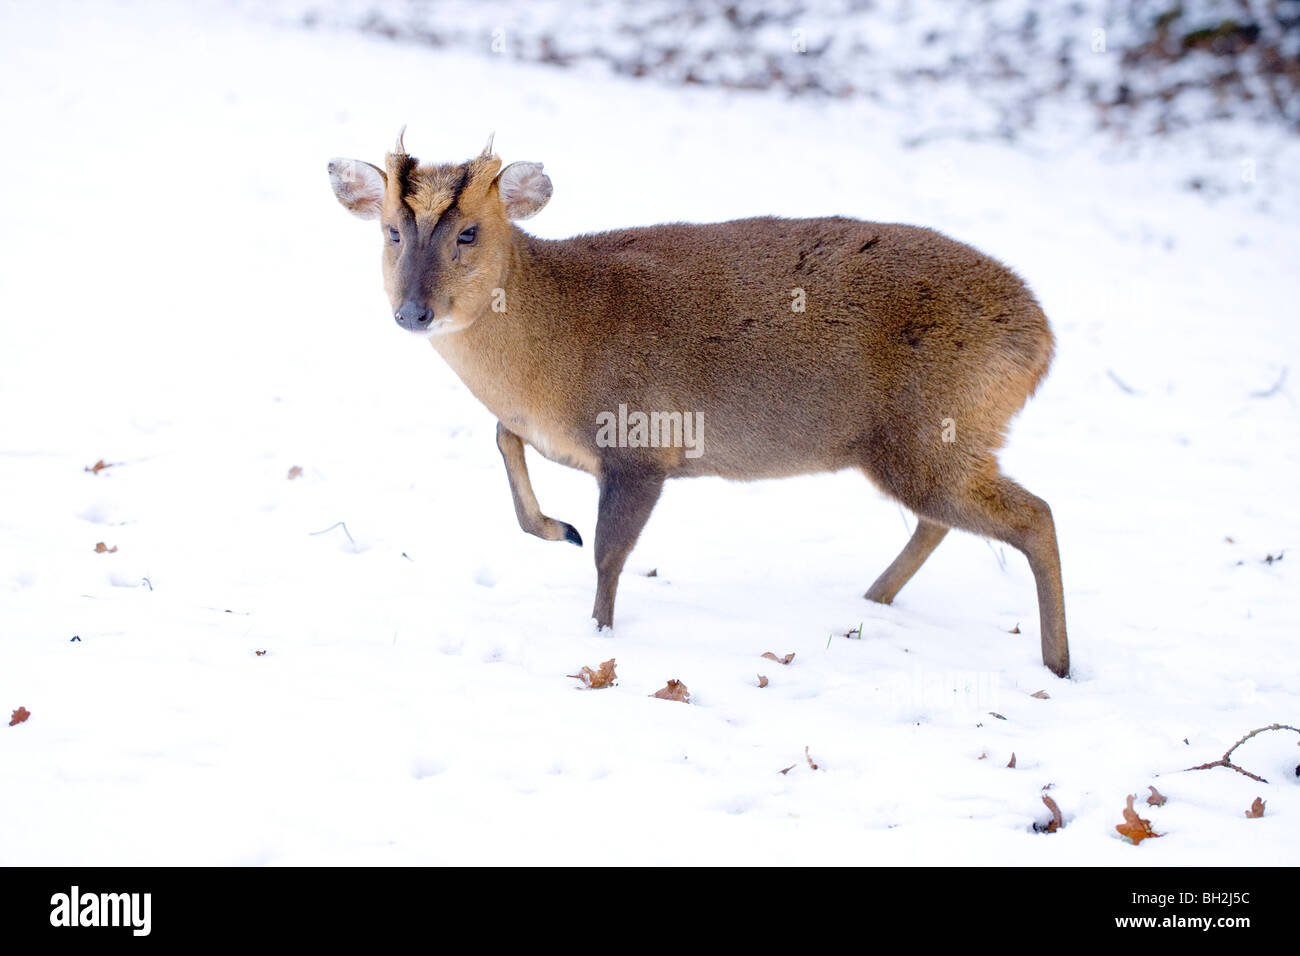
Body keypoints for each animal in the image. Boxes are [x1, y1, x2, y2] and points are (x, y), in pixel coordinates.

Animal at [327, 132, 1070, 677]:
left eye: (469, 234)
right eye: (392, 231)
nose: (413, 312)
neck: (549, 355)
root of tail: (1042, 340)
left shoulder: (642, 441)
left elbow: (609, 556)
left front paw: (598, 637)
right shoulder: (563, 437)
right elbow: (505, 441)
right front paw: (557, 528)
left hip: (933, 426)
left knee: (1033, 514)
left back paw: (1057, 665)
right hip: (931, 439)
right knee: (944, 520)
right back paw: (872, 602)